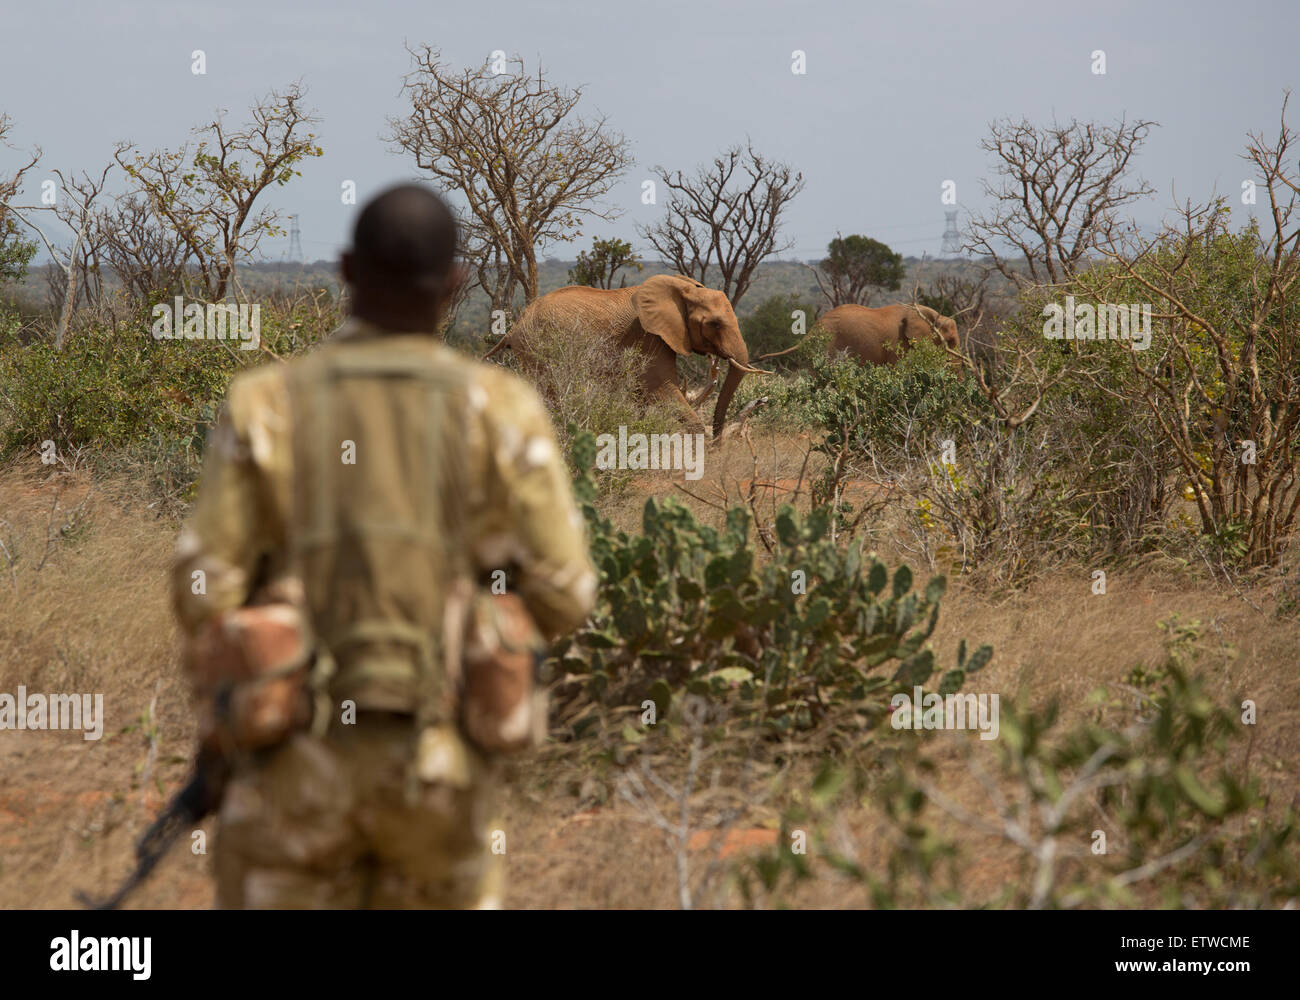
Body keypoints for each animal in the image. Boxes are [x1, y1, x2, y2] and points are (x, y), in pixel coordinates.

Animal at [484, 274, 765, 438]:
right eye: (715, 324)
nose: (718, 443)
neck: (683, 290)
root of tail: (514, 328)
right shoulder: (648, 335)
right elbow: (662, 388)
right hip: (537, 349)